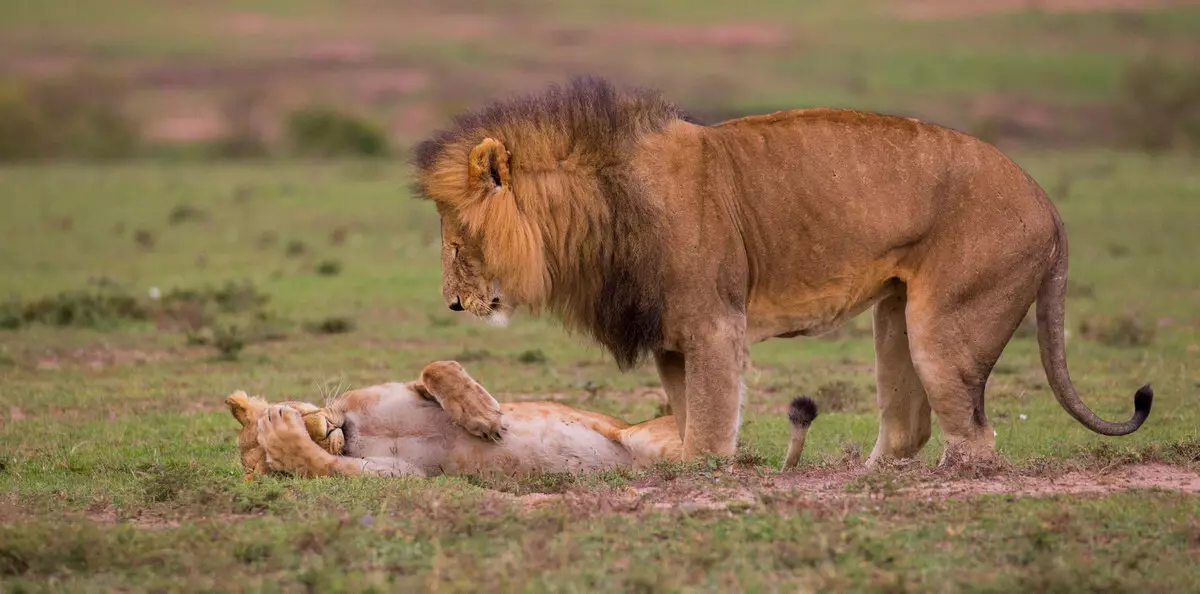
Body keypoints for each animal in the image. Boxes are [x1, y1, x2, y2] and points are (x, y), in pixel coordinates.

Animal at [412, 79, 1152, 468]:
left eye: (458, 237)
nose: (449, 305)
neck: (597, 212)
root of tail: (1048, 204)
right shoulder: (672, 342)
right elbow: (688, 416)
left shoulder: (714, 325)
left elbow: (709, 429)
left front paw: (698, 467)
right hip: (896, 318)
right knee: (908, 428)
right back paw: (862, 479)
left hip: (947, 326)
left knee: (976, 440)